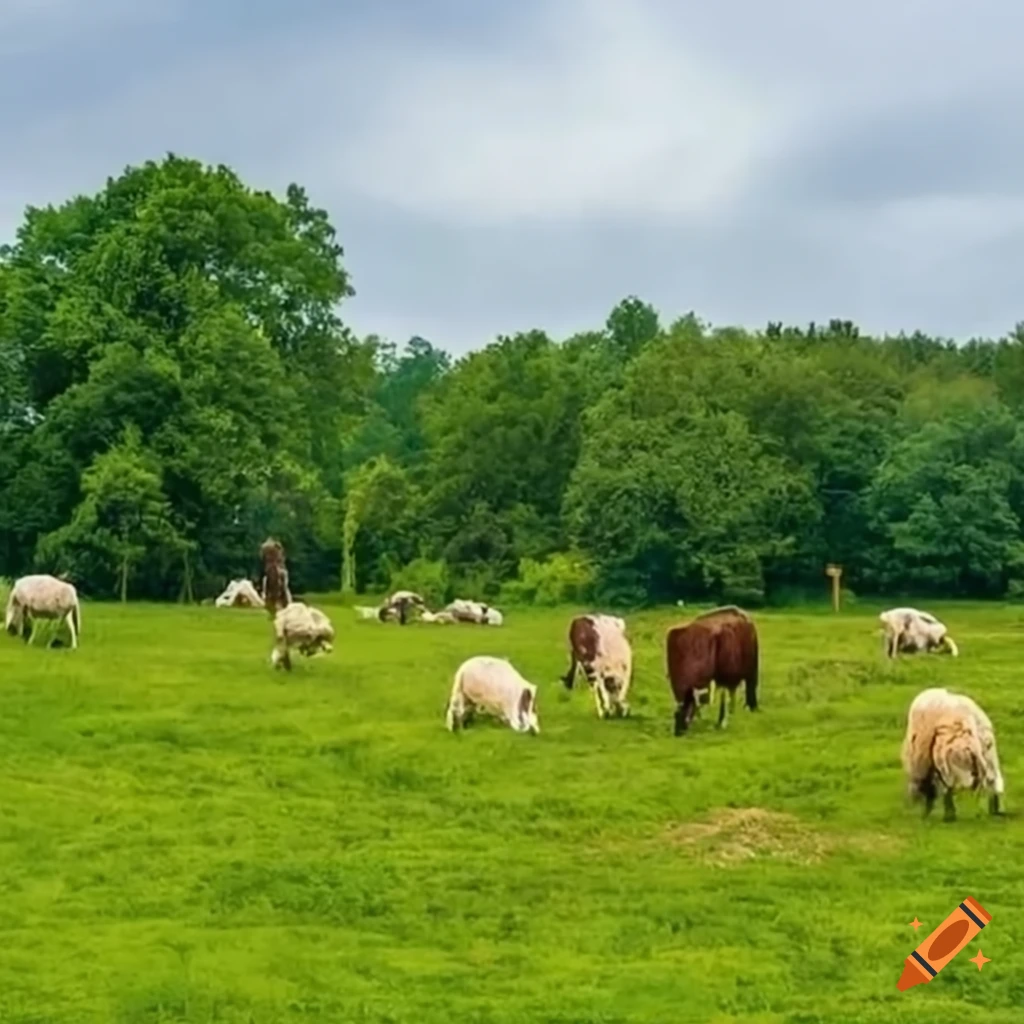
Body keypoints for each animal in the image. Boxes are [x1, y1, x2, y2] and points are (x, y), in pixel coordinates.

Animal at [666, 605, 759, 736]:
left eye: (687, 716)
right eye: (675, 715)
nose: (678, 733)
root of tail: (740, 612)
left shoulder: (722, 676)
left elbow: (722, 697)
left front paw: (721, 722)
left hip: (750, 669)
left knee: (750, 688)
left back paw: (751, 708)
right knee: (733, 692)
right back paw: (732, 712)